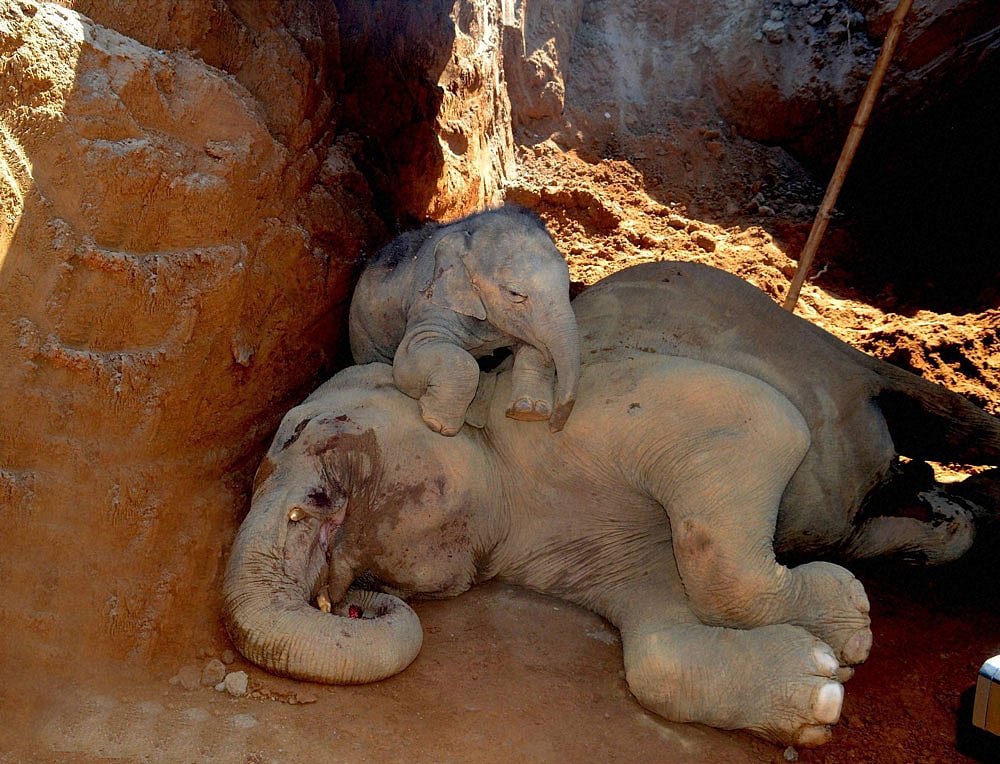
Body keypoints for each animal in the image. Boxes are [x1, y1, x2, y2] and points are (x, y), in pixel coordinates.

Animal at [223, 261, 1000, 748]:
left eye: (301, 434)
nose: (358, 603)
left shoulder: (579, 409)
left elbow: (762, 423)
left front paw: (852, 629)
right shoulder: (569, 551)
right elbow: (657, 638)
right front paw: (820, 691)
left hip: (825, 351)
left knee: (918, 403)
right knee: (870, 512)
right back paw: (948, 527)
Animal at [348, 205, 580, 436]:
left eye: (568, 285)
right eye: (515, 294)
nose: (554, 427)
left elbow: (533, 349)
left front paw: (528, 412)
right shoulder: (431, 302)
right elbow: (413, 358)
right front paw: (438, 425)